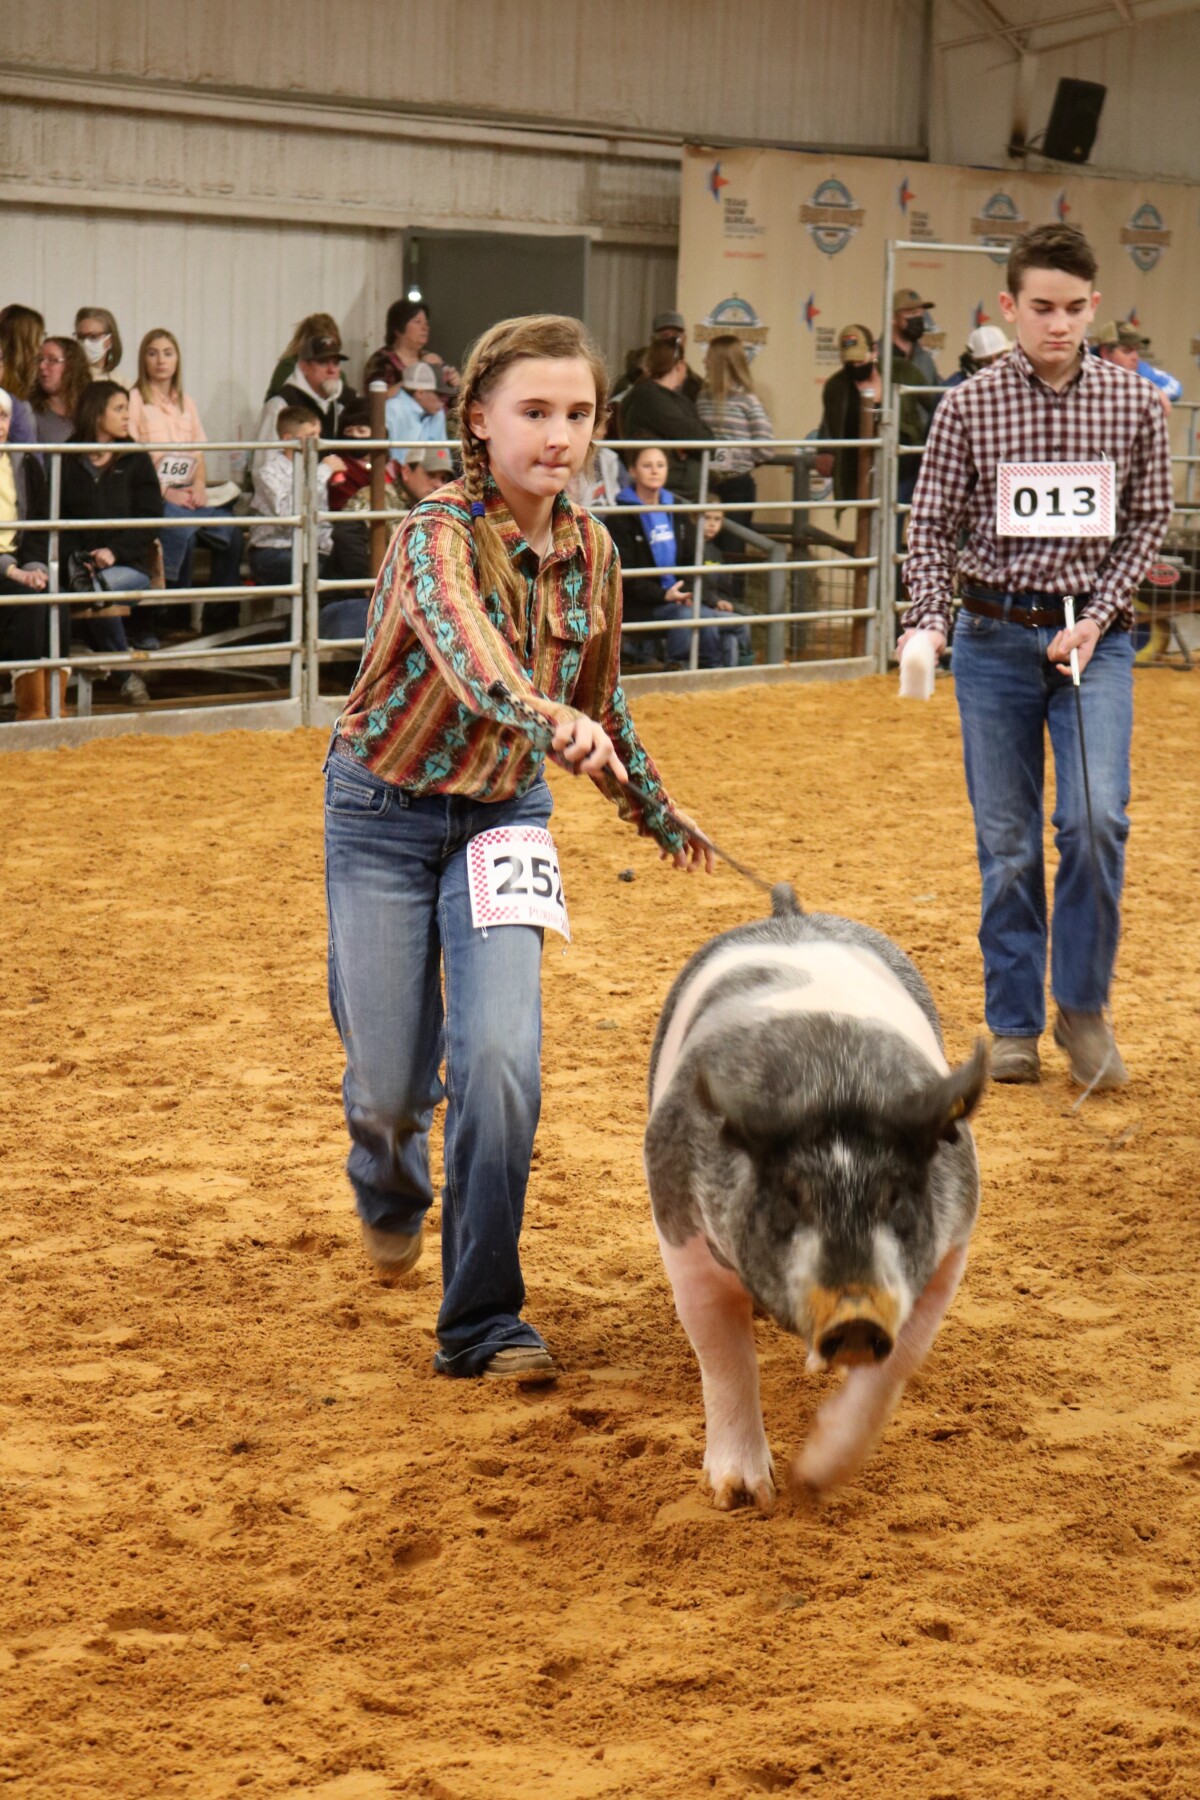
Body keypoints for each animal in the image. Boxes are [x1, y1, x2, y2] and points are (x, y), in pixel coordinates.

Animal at [644, 884, 987, 1514]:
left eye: (896, 1194)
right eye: (790, 1198)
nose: (854, 1315)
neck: (830, 1088)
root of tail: (789, 913)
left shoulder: (953, 1243)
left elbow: (898, 1362)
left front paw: (818, 1477)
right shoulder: (679, 1229)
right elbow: (725, 1360)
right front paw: (741, 1497)